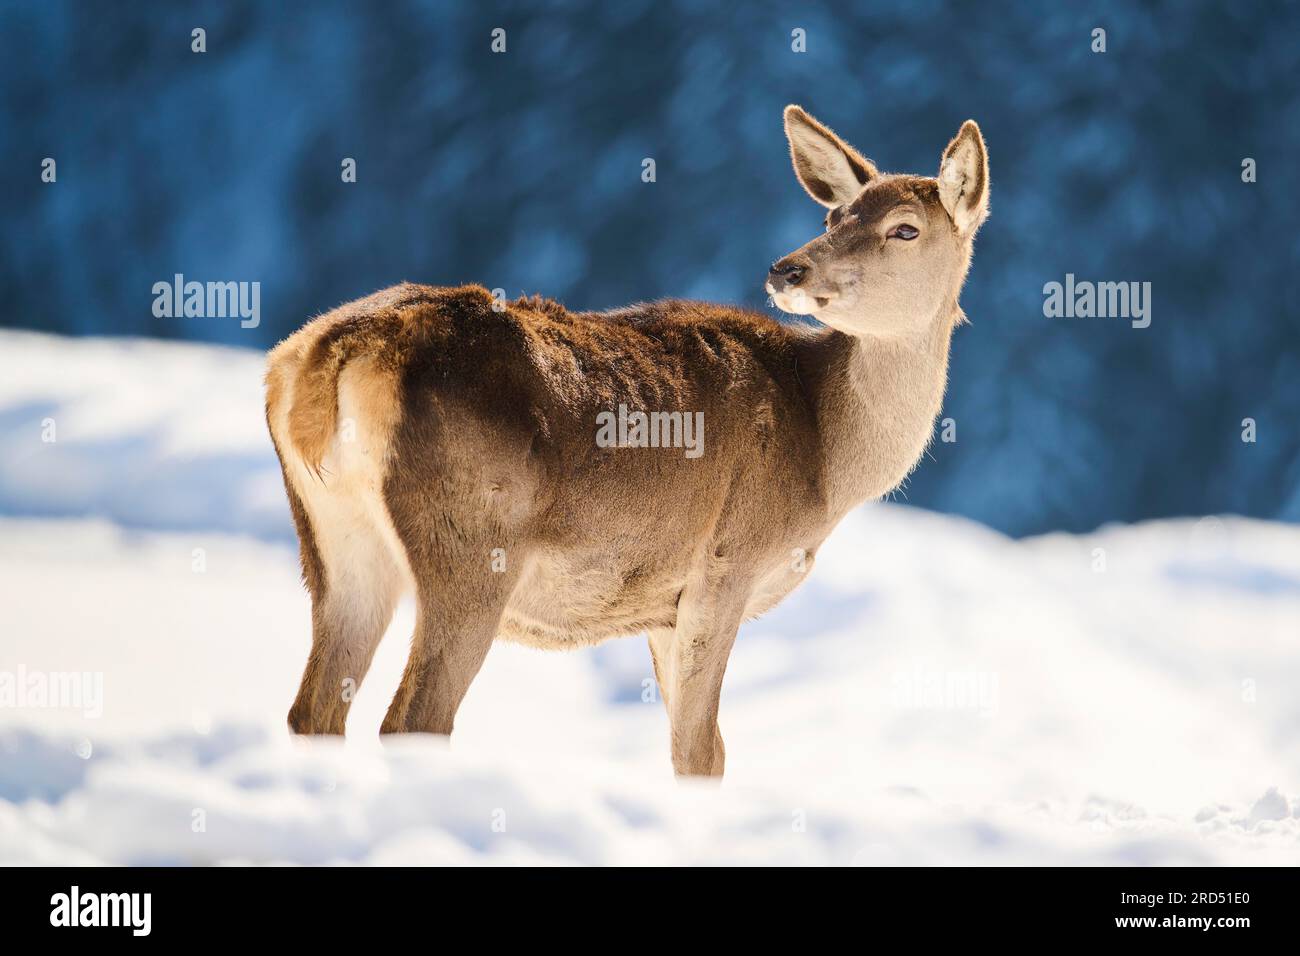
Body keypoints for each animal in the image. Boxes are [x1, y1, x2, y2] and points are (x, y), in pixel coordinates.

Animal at [264, 106, 989, 778]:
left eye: (903, 227)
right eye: (834, 217)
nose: (788, 270)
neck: (828, 466)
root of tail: (327, 353)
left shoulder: (662, 611)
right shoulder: (726, 563)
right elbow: (701, 750)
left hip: (334, 540)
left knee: (312, 710)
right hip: (471, 542)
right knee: (412, 718)